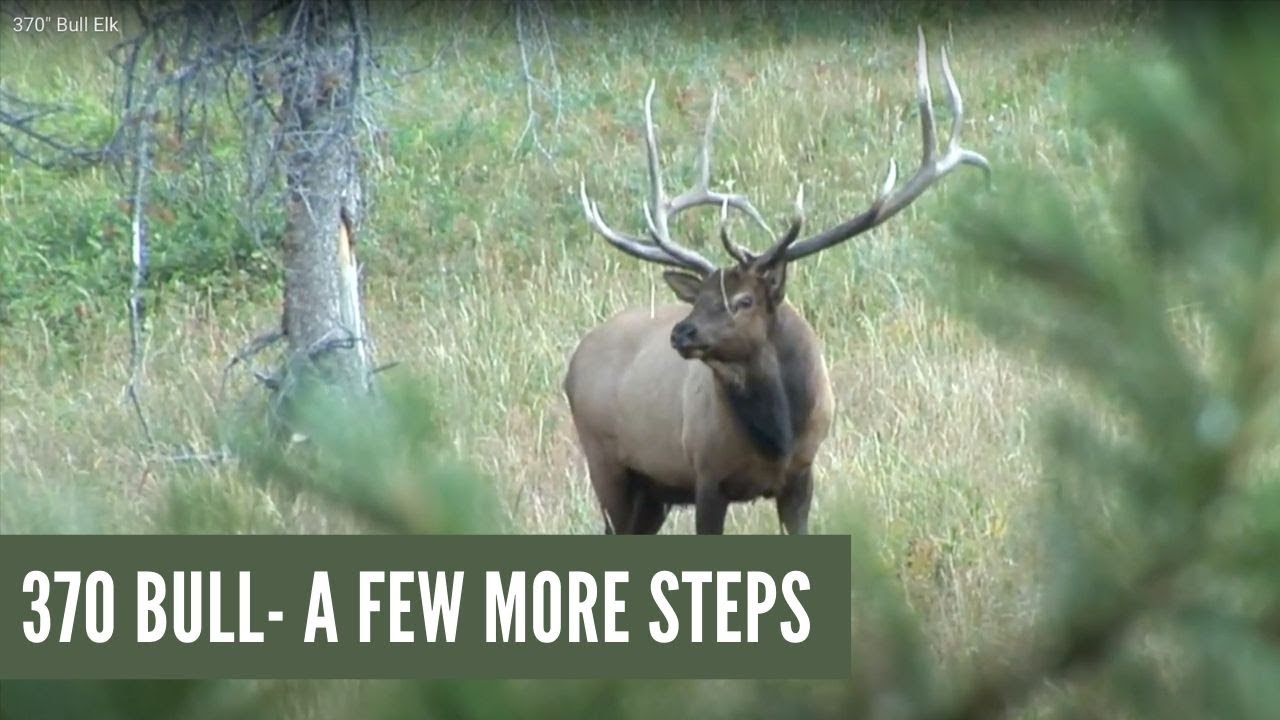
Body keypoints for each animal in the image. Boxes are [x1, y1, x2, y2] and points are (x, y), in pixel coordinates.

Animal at [563, 28, 991, 535]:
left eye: (744, 300)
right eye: (699, 297)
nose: (681, 332)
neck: (778, 437)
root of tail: (574, 361)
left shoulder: (802, 474)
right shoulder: (706, 474)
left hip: (652, 493)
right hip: (607, 464)